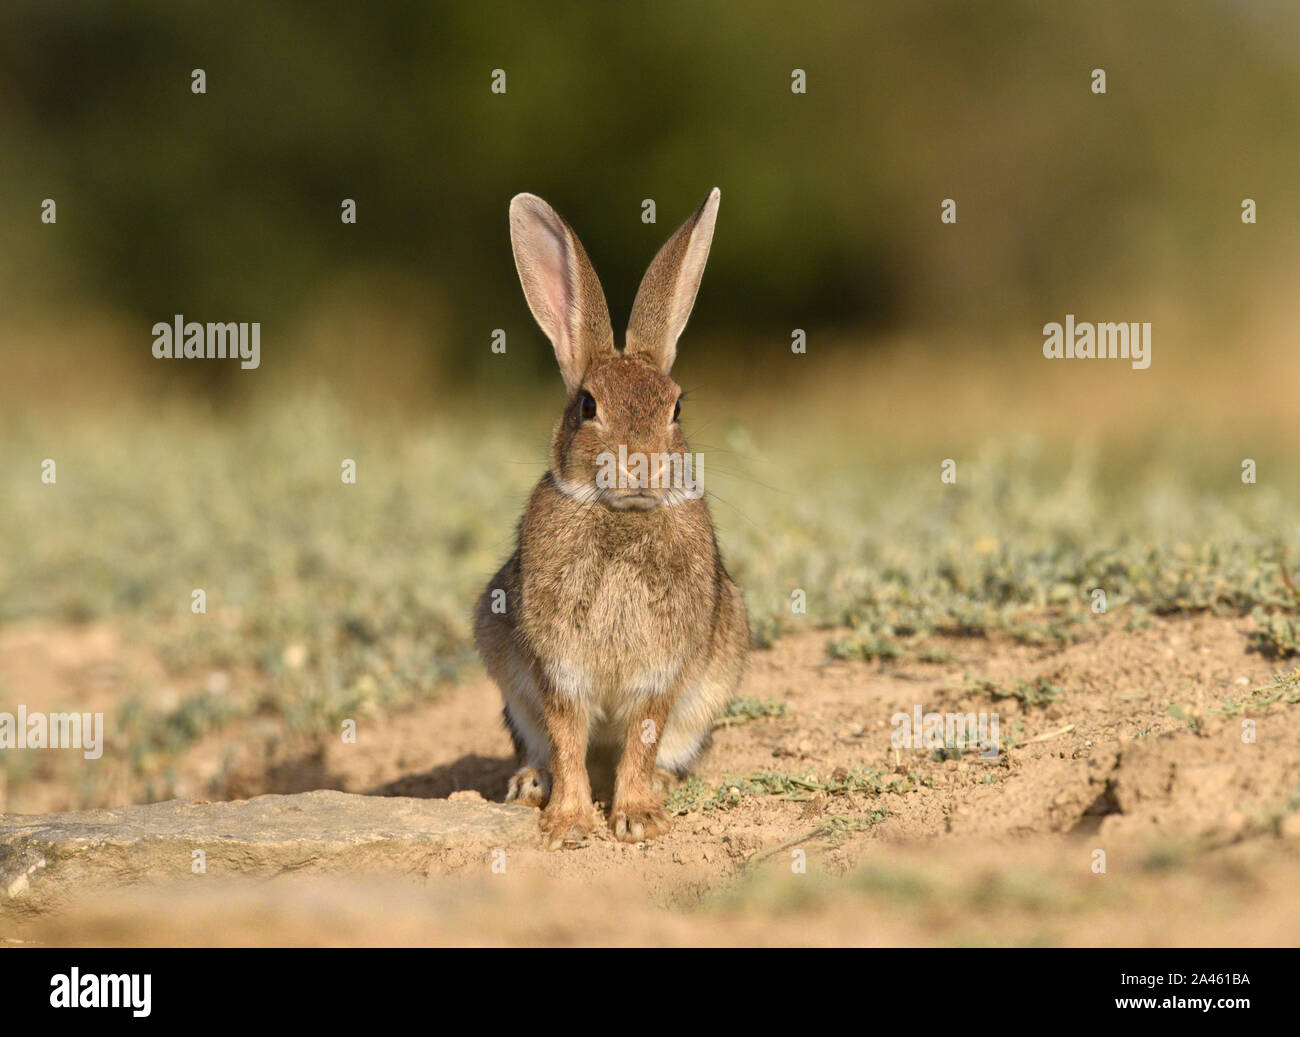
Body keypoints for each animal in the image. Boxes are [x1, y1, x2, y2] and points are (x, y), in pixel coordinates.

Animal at [474, 188, 749, 849]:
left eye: (676, 407)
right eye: (587, 405)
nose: (641, 465)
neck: (621, 518)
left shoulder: (661, 673)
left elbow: (642, 739)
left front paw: (638, 818)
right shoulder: (557, 668)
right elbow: (567, 737)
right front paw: (570, 825)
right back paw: (532, 785)